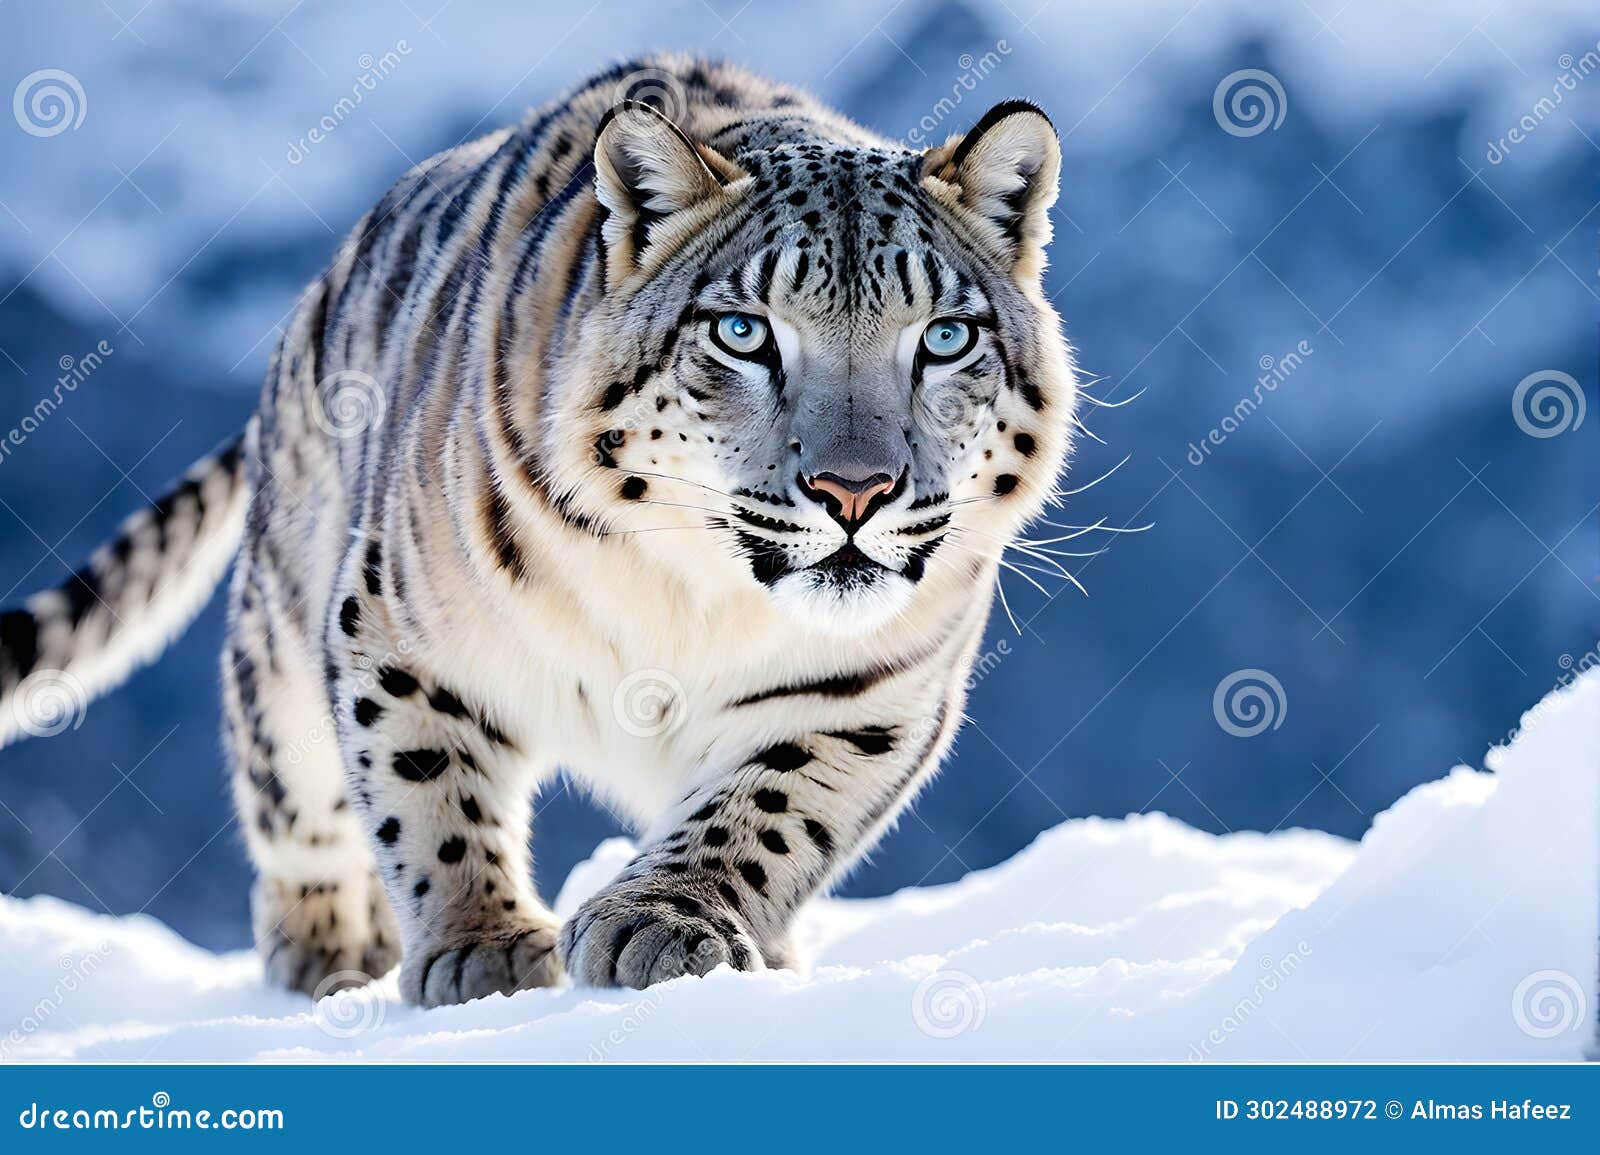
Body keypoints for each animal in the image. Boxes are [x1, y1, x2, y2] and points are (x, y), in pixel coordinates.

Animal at [0, 55, 1078, 1006]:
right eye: (744, 331)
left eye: (945, 337)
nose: (854, 491)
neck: (699, 597)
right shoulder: (396, 628)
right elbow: (425, 784)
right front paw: (481, 948)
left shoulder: (865, 688)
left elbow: (769, 805)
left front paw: (664, 923)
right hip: (281, 629)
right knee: (290, 790)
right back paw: (332, 950)